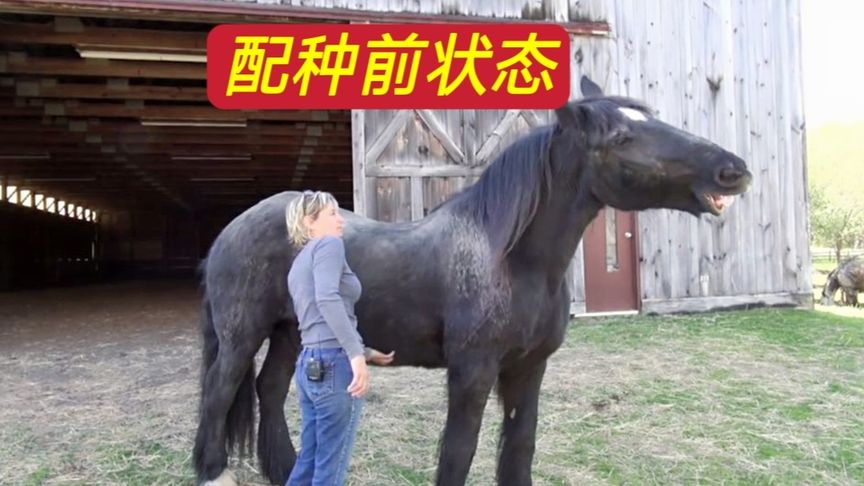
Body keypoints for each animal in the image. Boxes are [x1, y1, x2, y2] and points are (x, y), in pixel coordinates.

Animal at [192, 76, 753, 486]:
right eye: (621, 137)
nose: (734, 170)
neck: (512, 260)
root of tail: (231, 230)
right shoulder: (472, 372)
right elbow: (459, 452)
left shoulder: (529, 369)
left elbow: (520, 445)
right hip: (243, 334)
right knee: (220, 391)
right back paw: (212, 471)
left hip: (291, 331)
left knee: (268, 389)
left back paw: (284, 470)